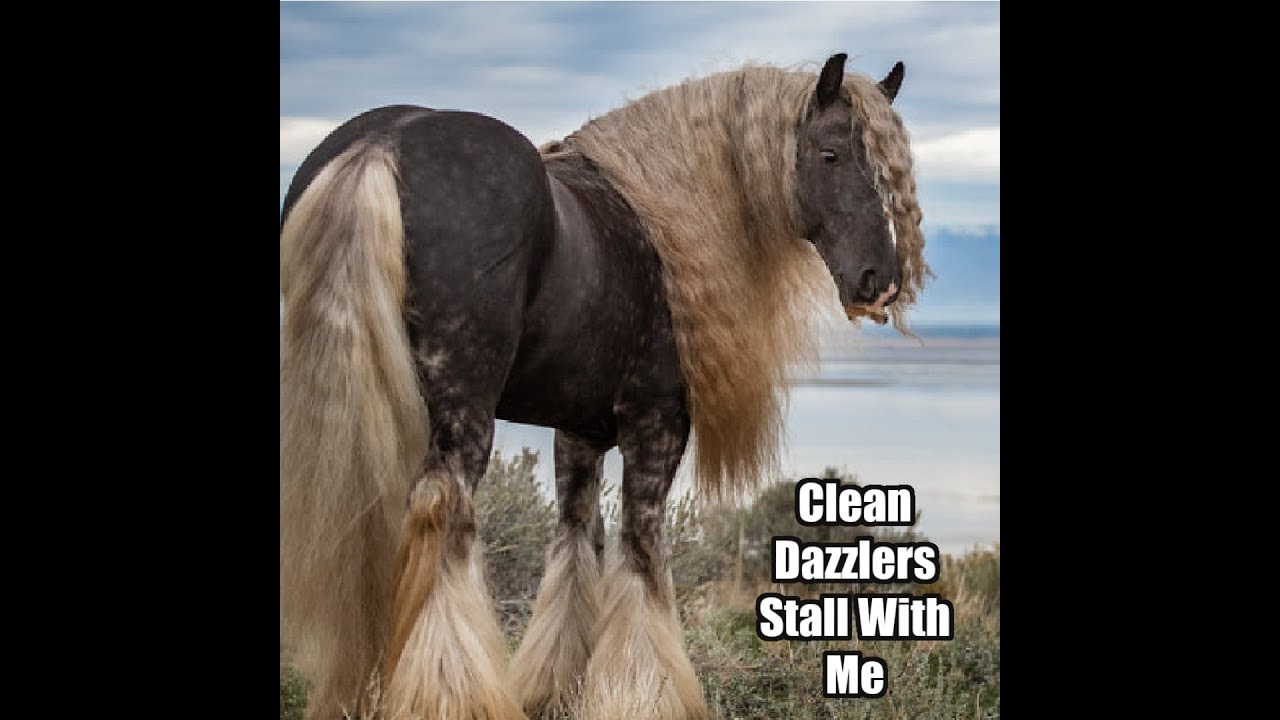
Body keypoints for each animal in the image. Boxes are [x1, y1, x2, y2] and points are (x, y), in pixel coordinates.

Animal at [280, 52, 928, 720]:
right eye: (831, 153)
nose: (880, 279)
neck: (658, 227)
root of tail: (380, 147)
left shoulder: (578, 434)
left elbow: (575, 542)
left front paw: (557, 686)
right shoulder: (657, 424)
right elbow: (641, 552)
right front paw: (647, 692)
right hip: (464, 414)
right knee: (444, 512)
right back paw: (453, 696)